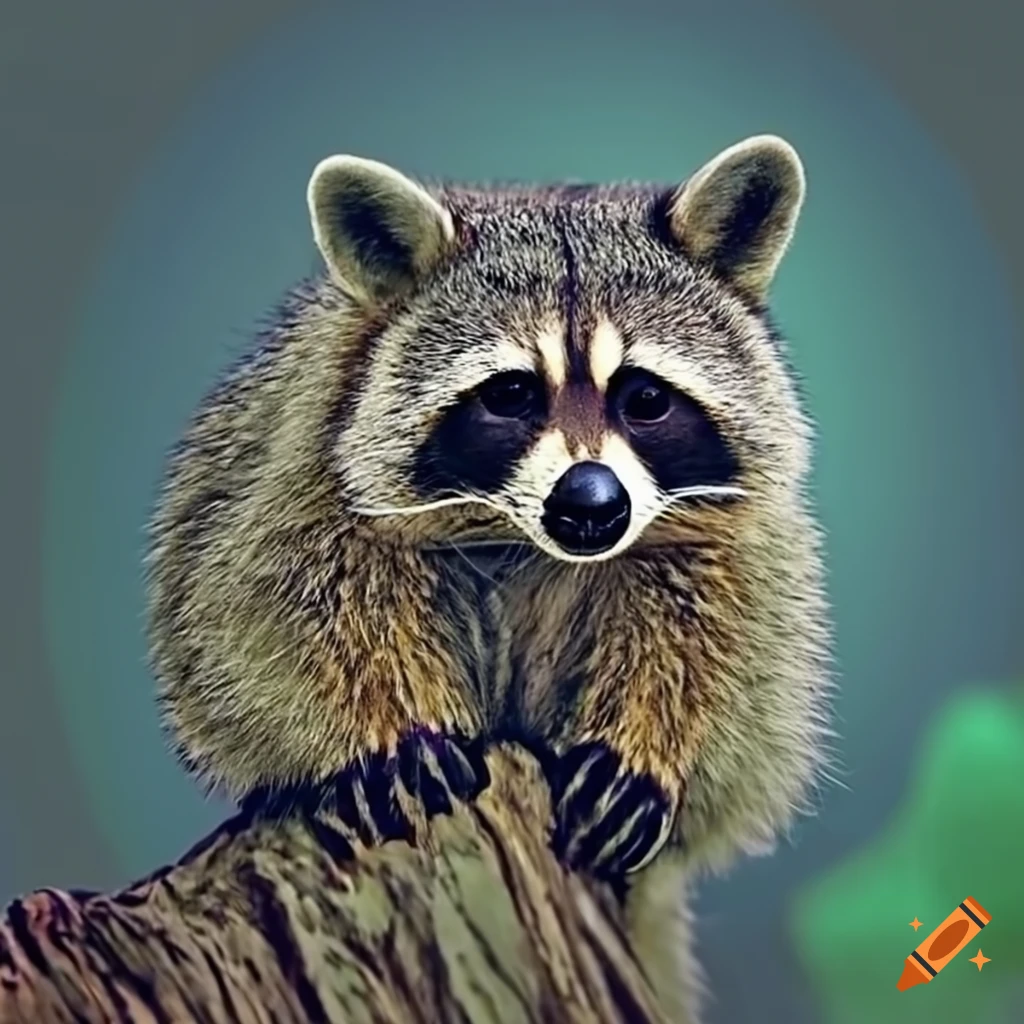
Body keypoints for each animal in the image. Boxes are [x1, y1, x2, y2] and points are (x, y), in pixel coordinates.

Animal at [147, 135, 833, 1021]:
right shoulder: (295, 448)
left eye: (645, 398)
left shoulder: (741, 529)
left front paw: (651, 737)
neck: (519, 538)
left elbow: (736, 630)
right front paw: (387, 724)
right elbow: (264, 600)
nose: (590, 504)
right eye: (510, 394)